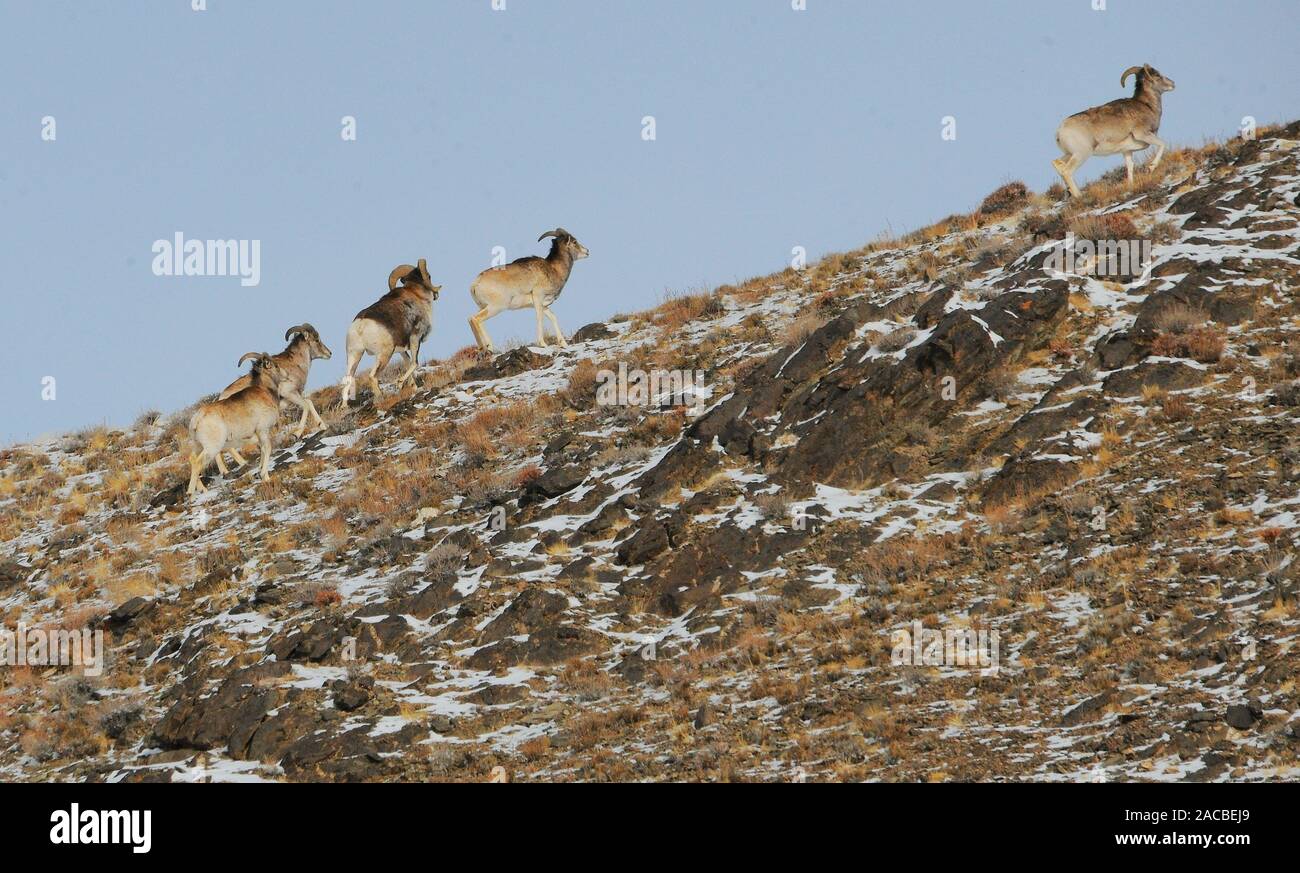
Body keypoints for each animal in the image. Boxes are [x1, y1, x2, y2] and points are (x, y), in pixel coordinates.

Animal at [187, 353, 288, 496]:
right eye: (276, 365)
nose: (287, 375)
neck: (265, 391)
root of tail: (197, 419)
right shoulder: (263, 430)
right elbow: (267, 449)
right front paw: (265, 477)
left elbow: (262, 451)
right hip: (212, 448)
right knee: (197, 463)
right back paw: (191, 495)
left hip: (199, 446)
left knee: (192, 460)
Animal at [217, 324, 332, 471]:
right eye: (317, 340)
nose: (329, 353)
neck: (295, 364)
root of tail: (221, 398)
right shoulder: (289, 393)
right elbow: (306, 405)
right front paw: (296, 434)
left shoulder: (289, 400)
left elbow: (309, 403)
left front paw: (322, 426)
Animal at [339, 259, 441, 406]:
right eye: (429, 276)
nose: (436, 295)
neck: (416, 295)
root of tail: (361, 325)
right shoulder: (415, 338)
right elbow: (414, 363)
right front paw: (399, 383)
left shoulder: (401, 349)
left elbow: (407, 362)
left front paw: (414, 388)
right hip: (384, 354)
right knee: (373, 376)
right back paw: (381, 398)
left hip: (355, 355)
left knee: (348, 379)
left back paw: (344, 407)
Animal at [1052, 65, 1176, 198]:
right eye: (1157, 75)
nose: (1173, 83)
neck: (1147, 106)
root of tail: (1060, 130)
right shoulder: (1143, 135)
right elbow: (1162, 144)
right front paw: (1151, 168)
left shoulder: (1127, 151)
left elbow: (1130, 166)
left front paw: (1130, 186)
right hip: (1081, 154)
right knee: (1067, 171)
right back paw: (1079, 196)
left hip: (1070, 154)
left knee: (1058, 164)